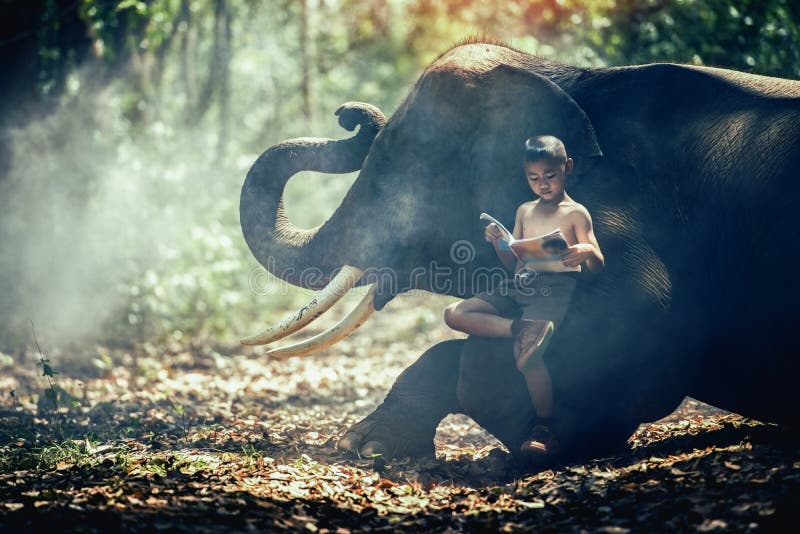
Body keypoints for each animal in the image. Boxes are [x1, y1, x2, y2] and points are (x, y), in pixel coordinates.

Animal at [240, 39, 800, 464]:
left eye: (395, 174)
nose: (350, 116)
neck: (569, 81)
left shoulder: (617, 222)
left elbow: (643, 322)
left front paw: (543, 443)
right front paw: (364, 445)